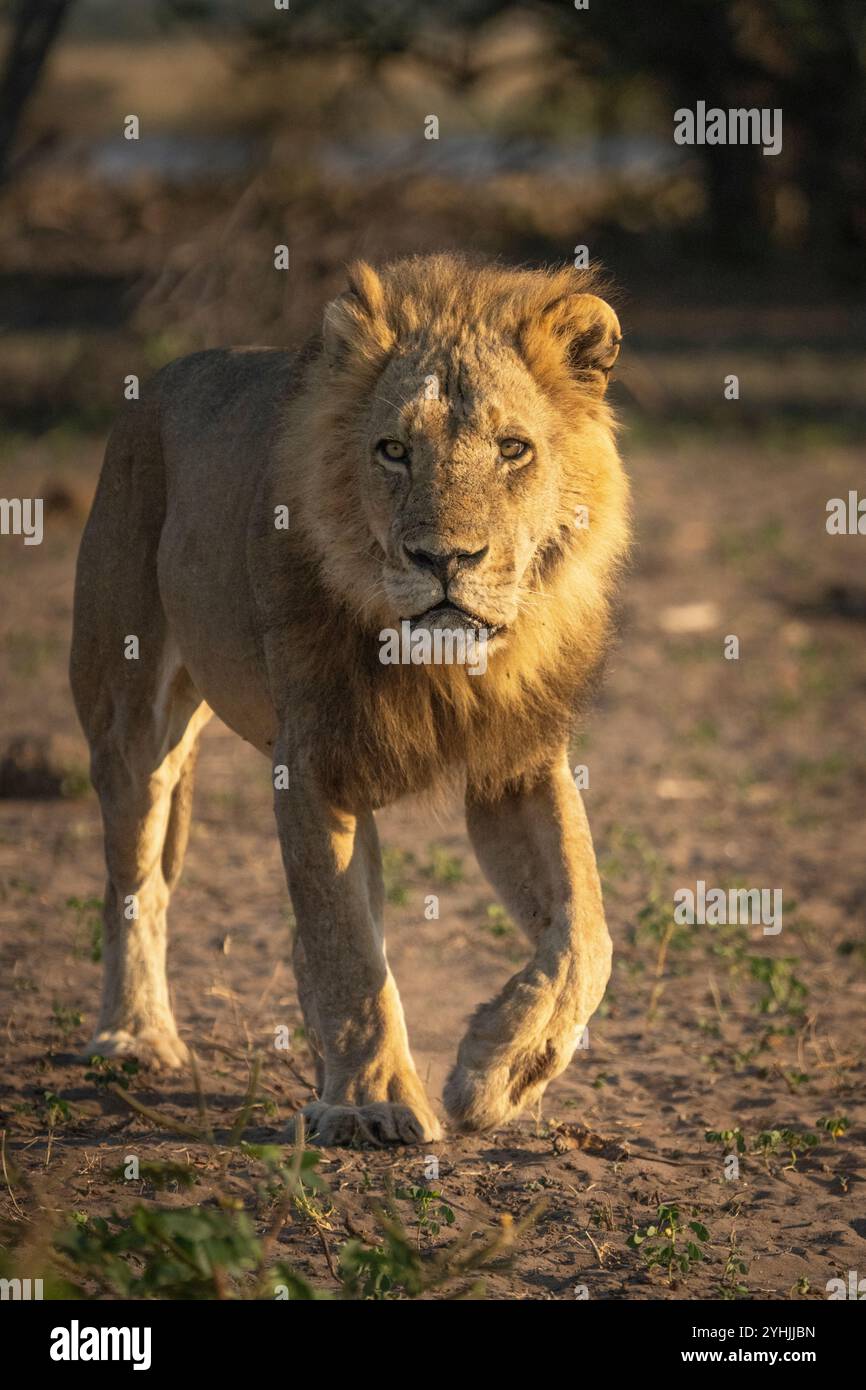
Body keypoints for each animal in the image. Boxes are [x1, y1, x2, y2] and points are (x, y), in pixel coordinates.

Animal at [70, 252, 629, 1146]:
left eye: (514, 449)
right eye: (393, 450)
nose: (444, 558)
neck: (437, 670)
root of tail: (155, 382)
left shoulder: (517, 765)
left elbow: (585, 932)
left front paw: (502, 1071)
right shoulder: (311, 764)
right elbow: (346, 946)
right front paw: (372, 1102)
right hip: (129, 720)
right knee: (137, 883)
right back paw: (135, 1038)